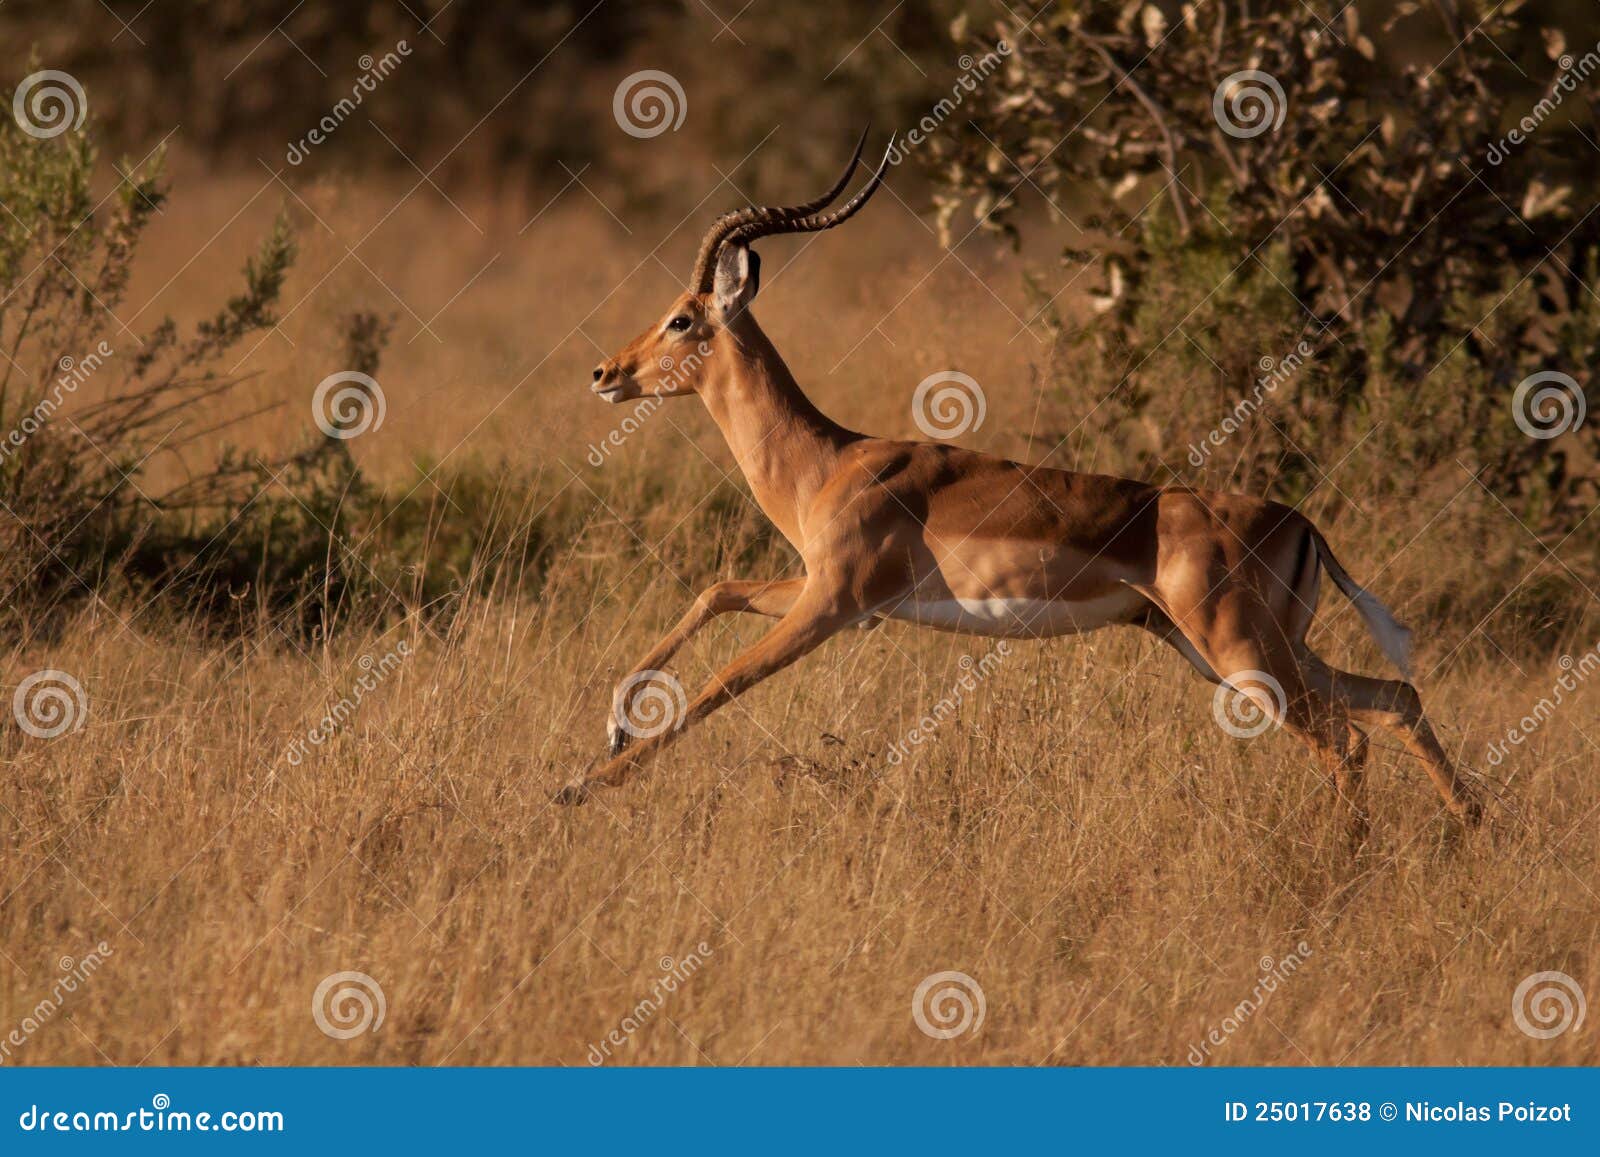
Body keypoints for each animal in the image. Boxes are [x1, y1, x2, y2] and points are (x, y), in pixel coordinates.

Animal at [562, 132, 1481, 830]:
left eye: (682, 317)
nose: (604, 372)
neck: (828, 461)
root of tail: (1299, 522)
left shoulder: (832, 603)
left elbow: (724, 681)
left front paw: (578, 784)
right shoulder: (836, 595)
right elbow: (716, 589)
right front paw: (609, 728)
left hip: (1241, 651)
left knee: (1346, 739)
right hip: (1232, 649)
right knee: (1393, 697)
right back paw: (1469, 826)